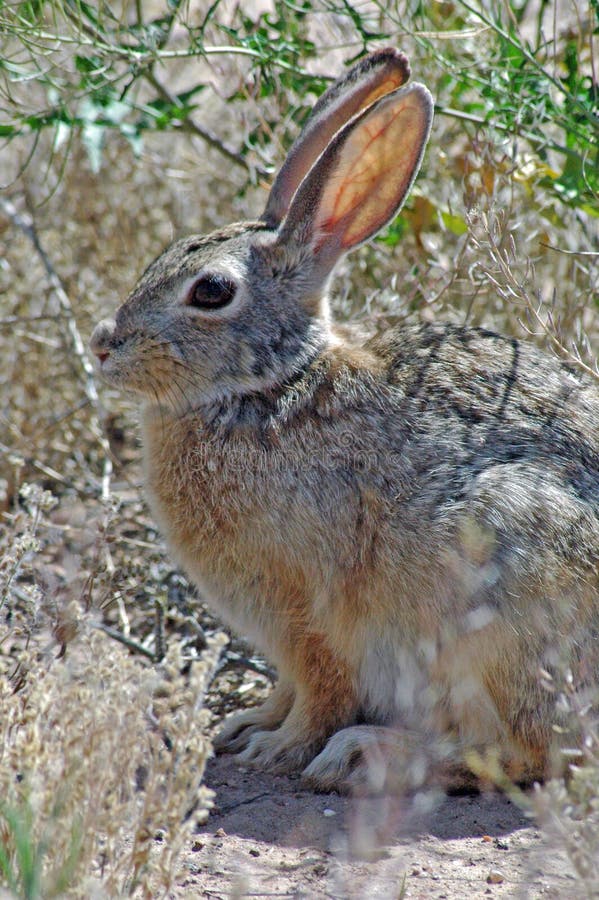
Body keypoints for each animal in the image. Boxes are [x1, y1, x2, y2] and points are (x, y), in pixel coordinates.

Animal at [90, 48, 599, 794]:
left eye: (210, 292)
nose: (104, 346)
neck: (270, 384)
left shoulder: (311, 614)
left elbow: (320, 690)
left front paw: (275, 749)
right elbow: (284, 687)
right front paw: (245, 723)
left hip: (498, 597)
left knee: (524, 753)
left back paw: (365, 754)